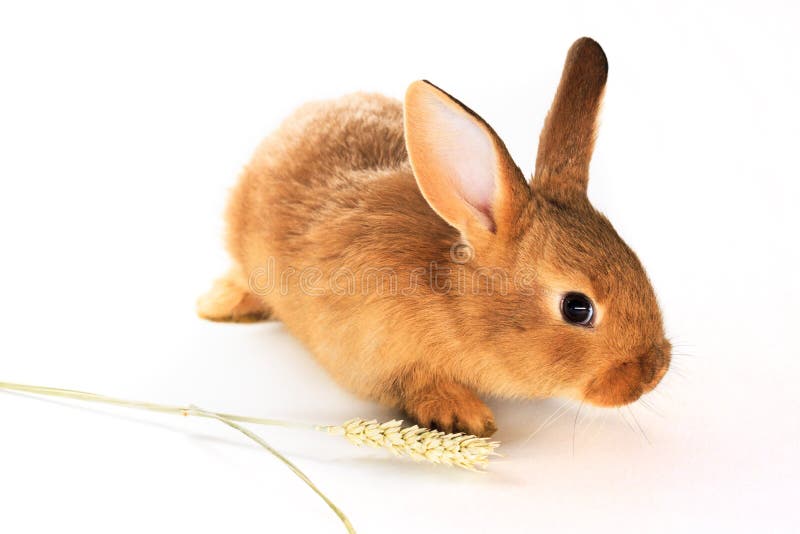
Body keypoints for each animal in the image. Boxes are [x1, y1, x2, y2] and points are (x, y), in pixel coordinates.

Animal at [198, 37, 670, 438]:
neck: (456, 301)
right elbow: (416, 383)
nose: (654, 371)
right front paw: (466, 415)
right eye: (577, 308)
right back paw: (221, 306)